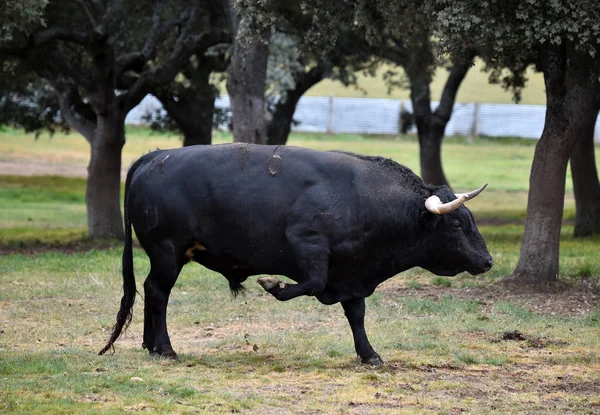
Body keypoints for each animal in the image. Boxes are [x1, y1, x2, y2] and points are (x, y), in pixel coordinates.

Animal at [99, 145, 492, 366]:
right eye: (457, 224)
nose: (487, 261)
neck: (364, 197)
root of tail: (155, 157)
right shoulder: (308, 244)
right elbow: (311, 283)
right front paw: (273, 284)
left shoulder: (351, 274)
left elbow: (357, 316)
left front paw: (369, 354)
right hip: (169, 252)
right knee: (157, 292)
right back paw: (164, 348)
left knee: (151, 291)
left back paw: (151, 345)